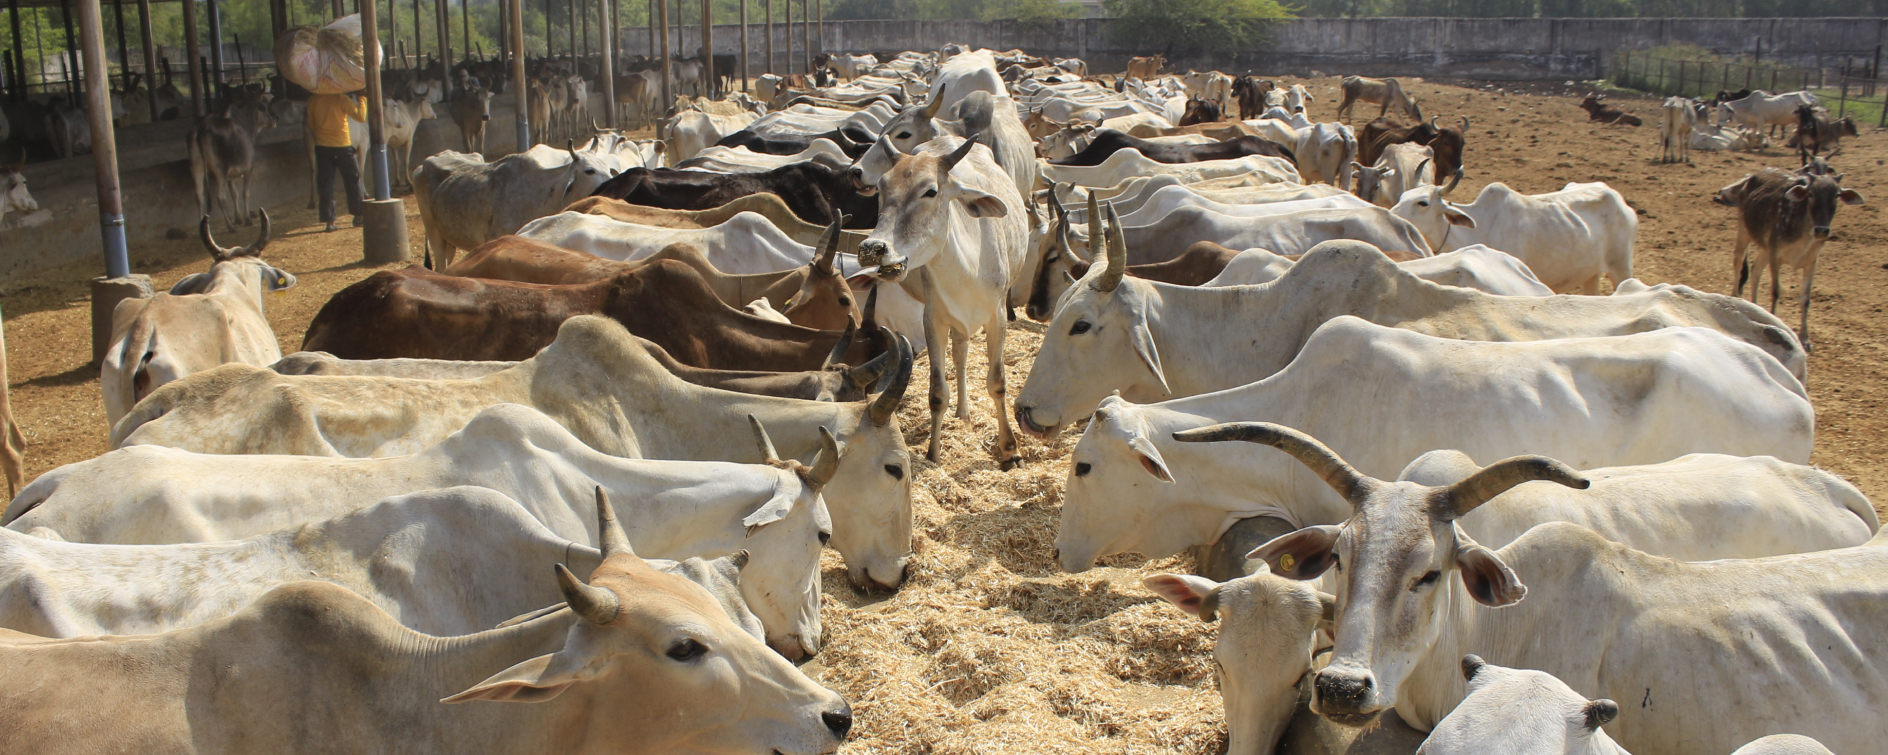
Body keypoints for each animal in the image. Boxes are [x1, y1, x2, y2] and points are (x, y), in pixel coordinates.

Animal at [187, 90, 277, 230]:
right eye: (266, 105)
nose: (275, 119)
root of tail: (203, 125)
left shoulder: (230, 175)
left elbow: (234, 194)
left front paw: (238, 218)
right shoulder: (249, 168)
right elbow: (245, 192)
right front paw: (247, 219)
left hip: (196, 168)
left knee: (199, 196)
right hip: (220, 170)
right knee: (220, 197)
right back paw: (230, 226)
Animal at [856, 136, 1028, 468]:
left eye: (930, 191)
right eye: (882, 188)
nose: (872, 248)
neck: (968, 268)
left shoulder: (997, 317)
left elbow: (997, 382)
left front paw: (1010, 449)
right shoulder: (933, 318)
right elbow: (937, 391)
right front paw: (933, 453)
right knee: (960, 353)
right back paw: (961, 412)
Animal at [1714, 168, 1865, 343]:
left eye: (1837, 194)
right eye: (1810, 193)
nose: (1821, 230)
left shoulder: (1811, 261)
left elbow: (1805, 299)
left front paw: (1805, 339)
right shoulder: (1776, 255)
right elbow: (1776, 291)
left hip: (1765, 247)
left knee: (1755, 269)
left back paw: (1754, 305)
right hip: (1744, 230)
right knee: (1738, 261)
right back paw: (1735, 296)